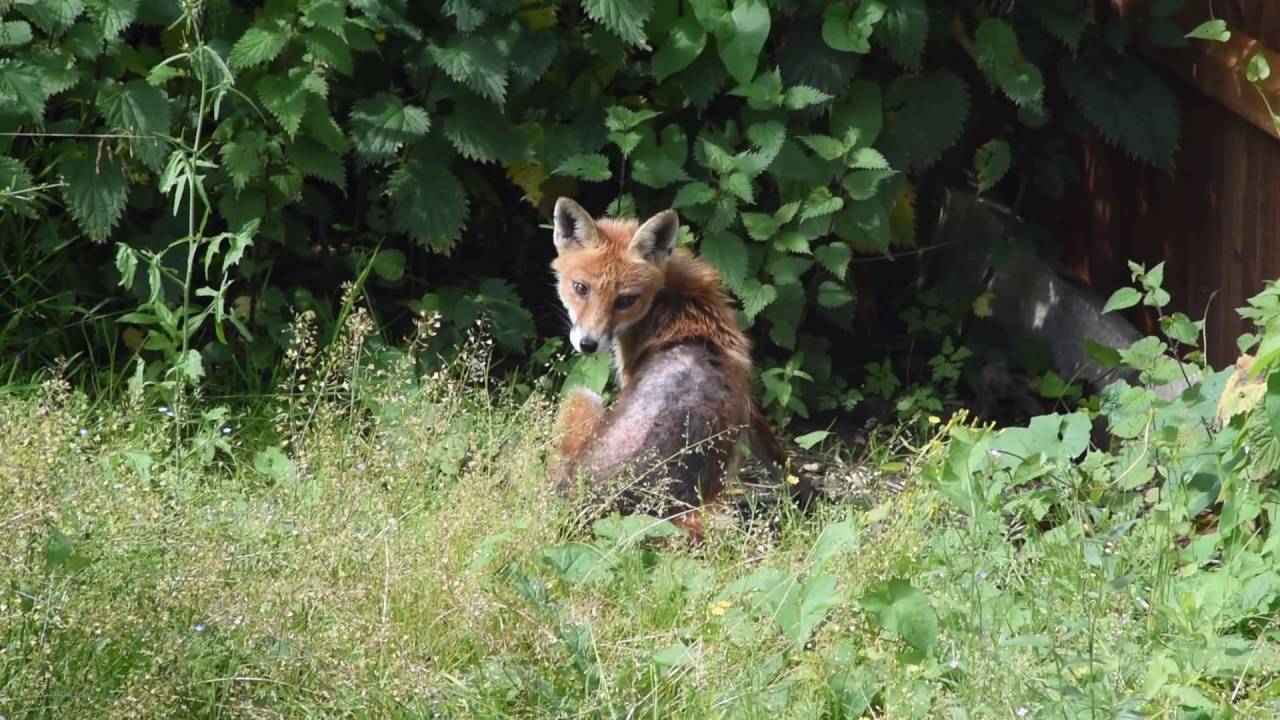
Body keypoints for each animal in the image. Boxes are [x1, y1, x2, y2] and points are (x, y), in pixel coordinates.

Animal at [547, 197, 812, 538]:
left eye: (625, 300)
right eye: (580, 288)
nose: (588, 344)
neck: (676, 304)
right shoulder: (745, 396)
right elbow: (776, 452)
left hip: (583, 397)